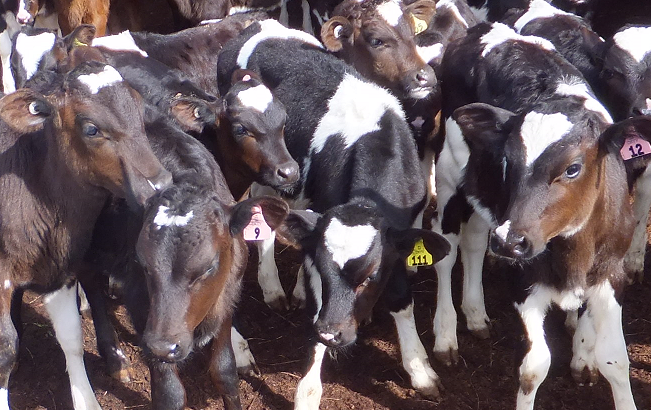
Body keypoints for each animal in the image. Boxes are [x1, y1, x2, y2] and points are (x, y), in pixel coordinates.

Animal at [0, 51, 171, 410]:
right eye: (91, 129)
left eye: (138, 109)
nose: (160, 184)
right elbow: (4, 348)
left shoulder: (63, 268)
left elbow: (72, 337)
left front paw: (86, 400)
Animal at [217, 19, 451, 408]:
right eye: (326, 272)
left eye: (370, 276)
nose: (331, 334)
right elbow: (316, 310)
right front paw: (308, 392)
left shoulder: (399, 235)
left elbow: (402, 300)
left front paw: (419, 368)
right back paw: (272, 285)